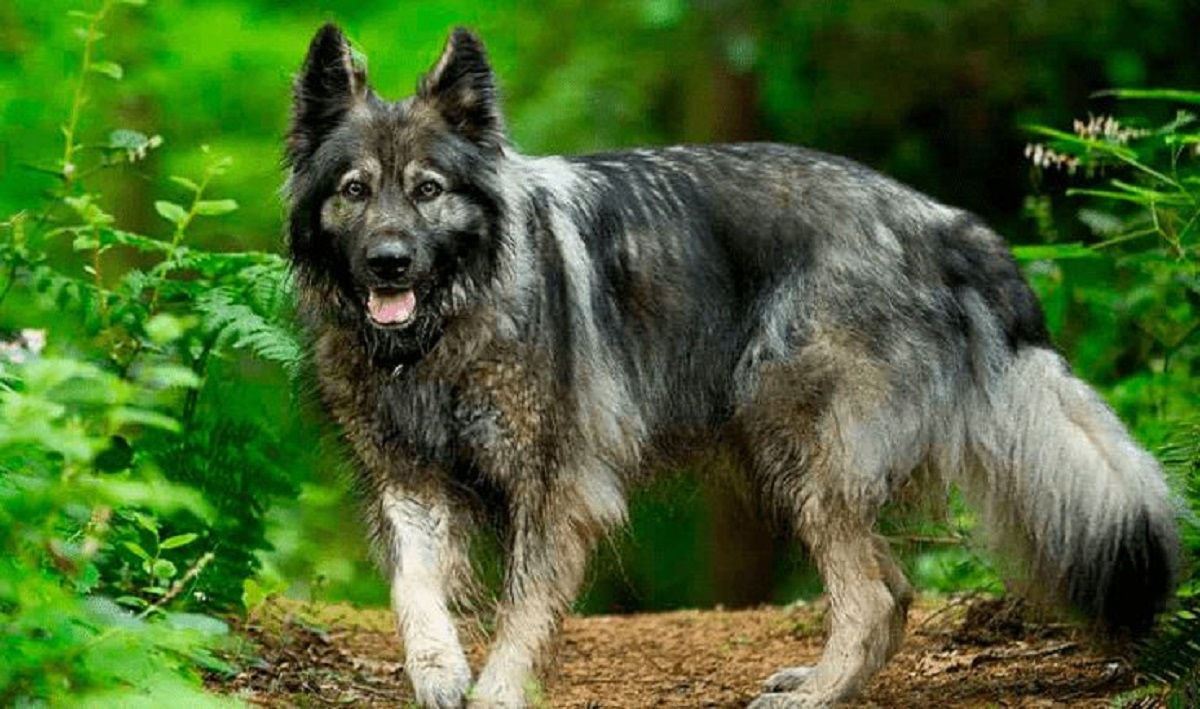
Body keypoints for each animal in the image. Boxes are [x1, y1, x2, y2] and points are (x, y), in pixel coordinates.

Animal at [285, 23, 1179, 708]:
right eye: (355, 189)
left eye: (429, 189)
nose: (389, 264)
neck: (445, 334)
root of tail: (942, 224)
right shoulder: (410, 481)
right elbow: (414, 587)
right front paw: (438, 671)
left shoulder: (557, 486)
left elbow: (524, 610)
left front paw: (498, 688)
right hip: (791, 459)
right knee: (891, 592)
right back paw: (827, 685)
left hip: (802, 451)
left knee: (873, 595)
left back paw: (816, 694)